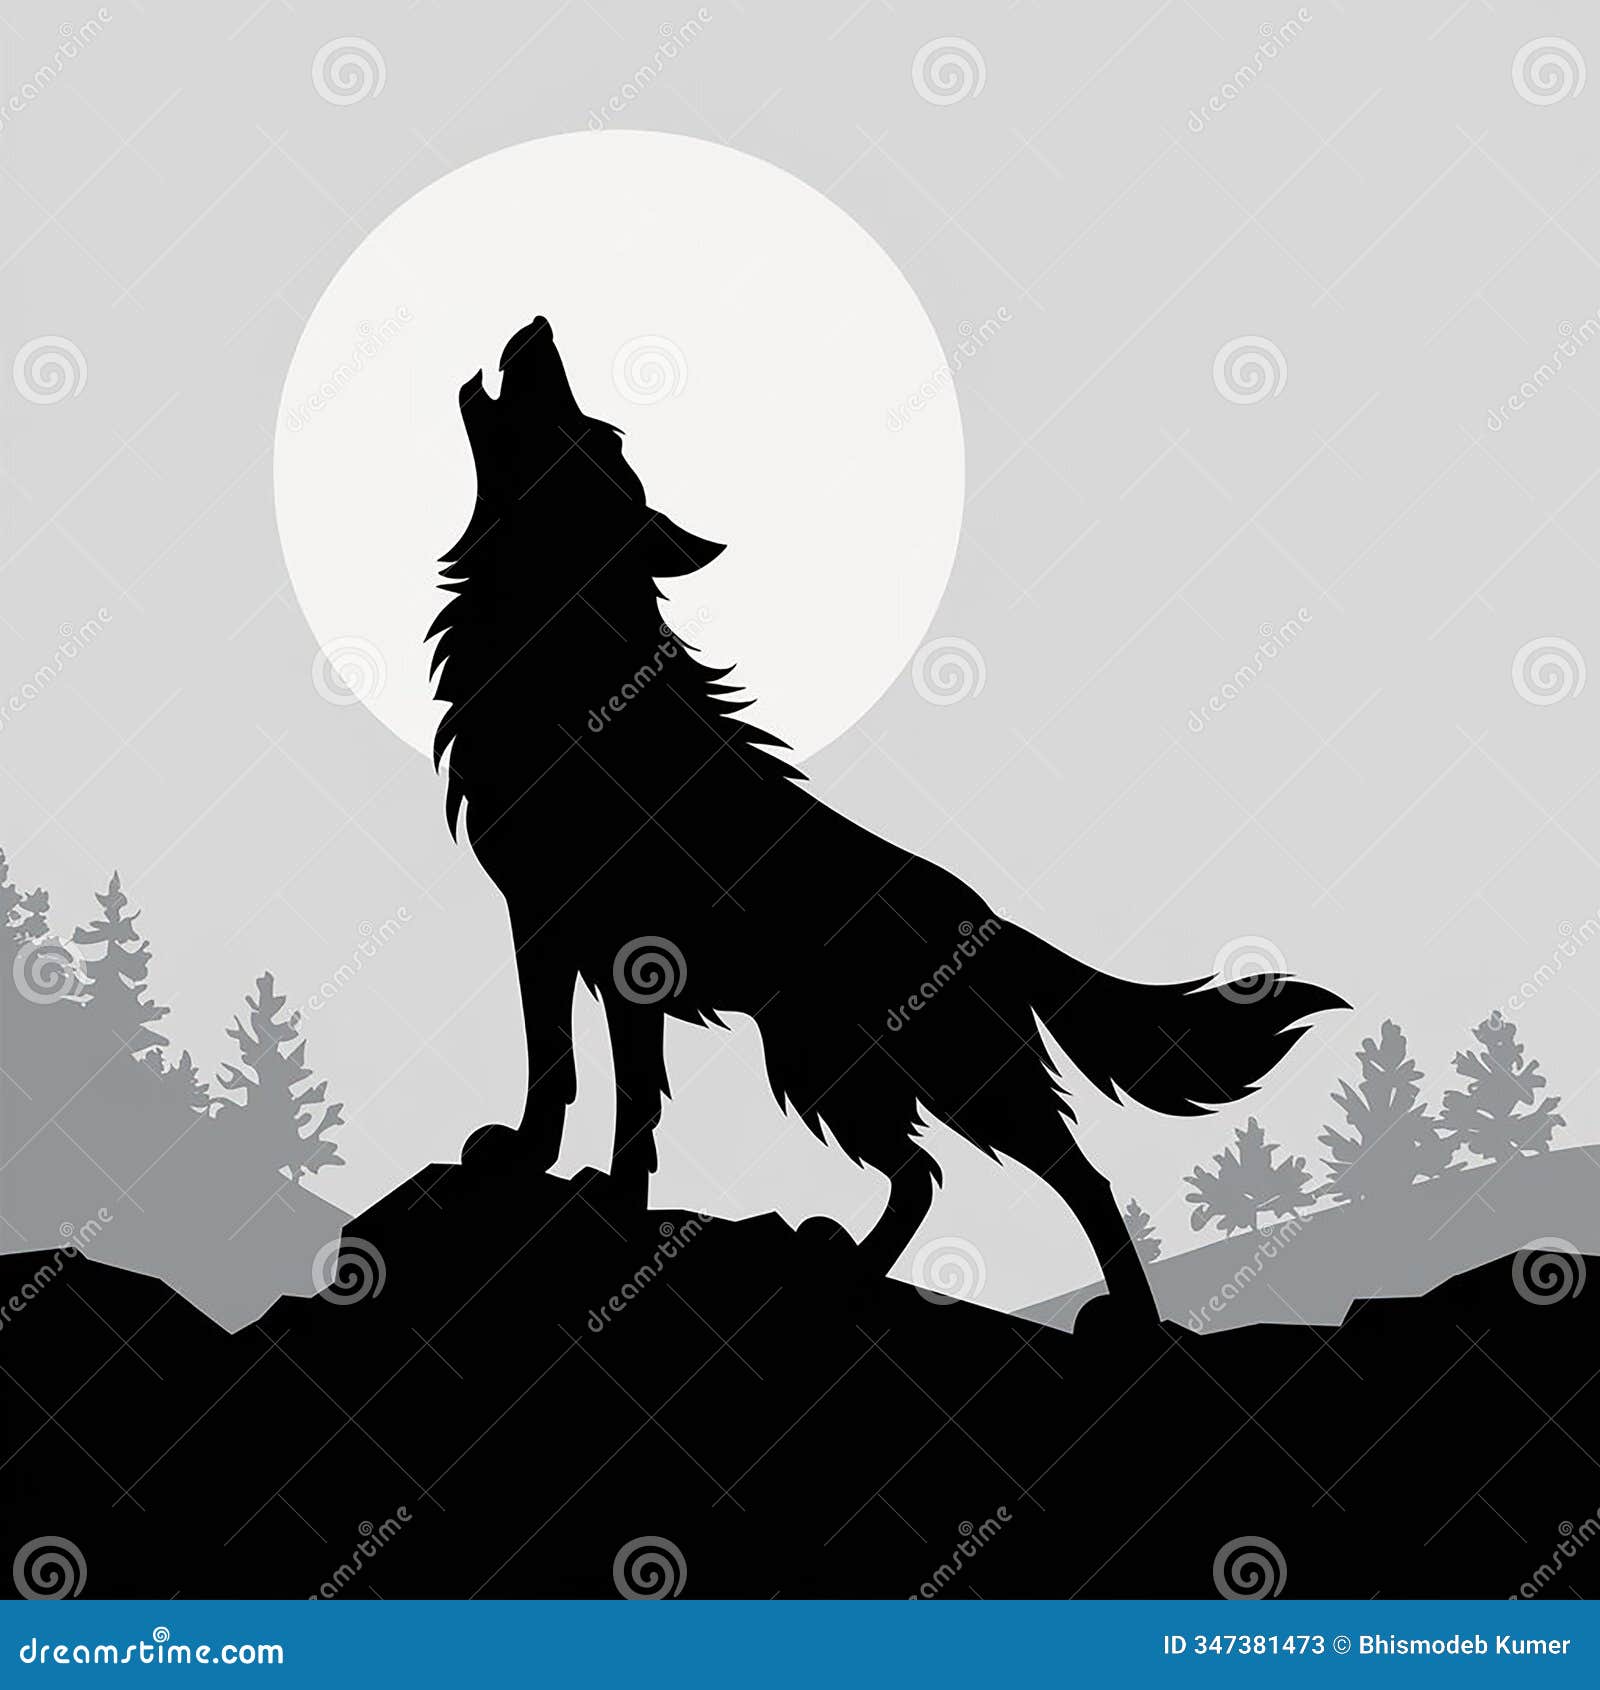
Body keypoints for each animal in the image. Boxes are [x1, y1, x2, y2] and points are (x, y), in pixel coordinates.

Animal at [428, 316, 1344, 1323]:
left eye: (597, 436)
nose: (540, 325)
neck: (567, 667)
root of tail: (989, 917)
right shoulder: (543, 927)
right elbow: (553, 1063)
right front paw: (531, 1159)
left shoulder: (628, 954)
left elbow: (633, 1101)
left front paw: (616, 1205)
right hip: (831, 1066)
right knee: (924, 1174)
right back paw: (845, 1262)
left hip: (909, 1071)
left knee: (1068, 1174)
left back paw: (1129, 1318)